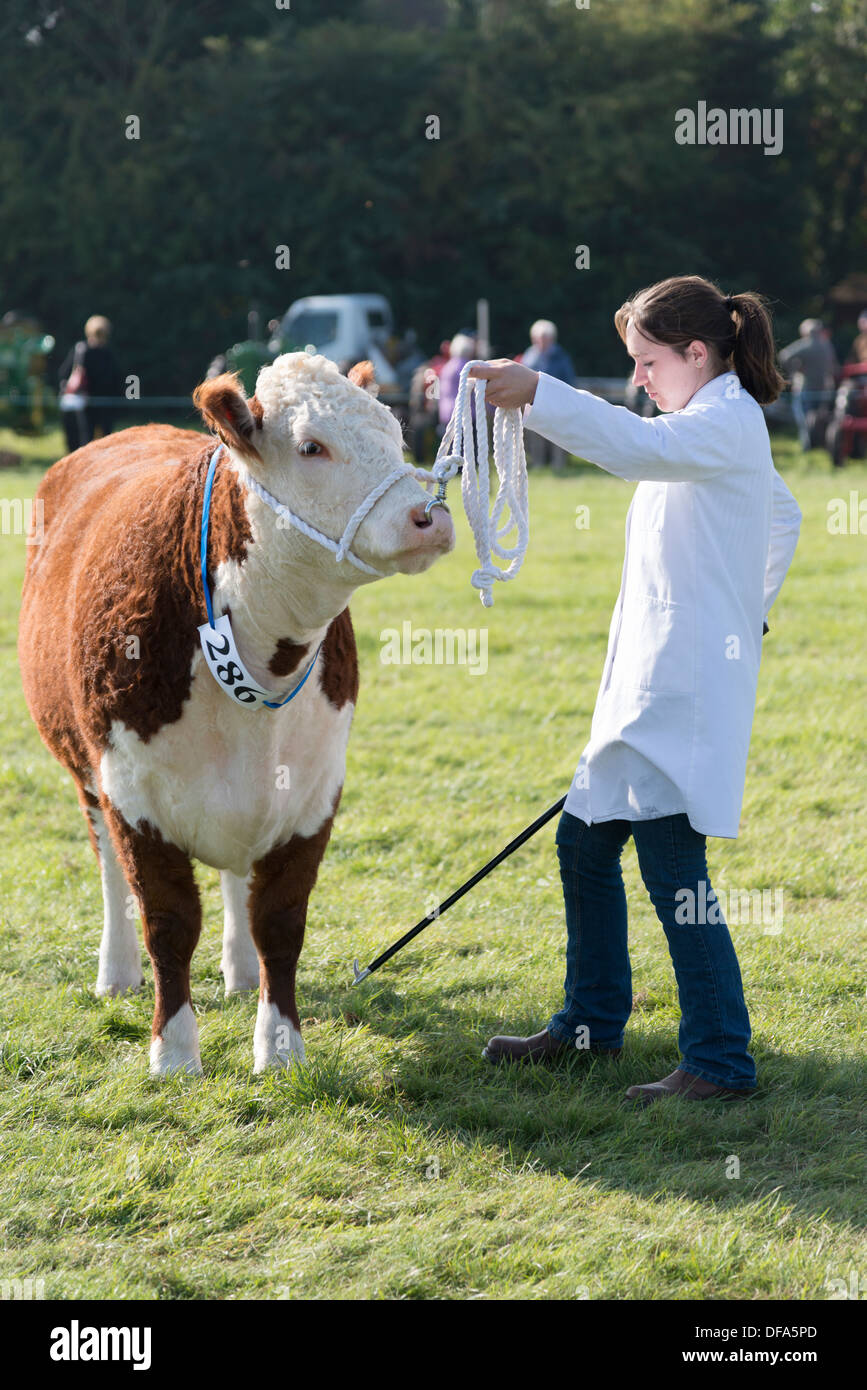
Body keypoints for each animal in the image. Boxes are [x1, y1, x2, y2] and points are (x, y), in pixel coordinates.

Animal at [18, 352, 455, 1077]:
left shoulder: (312, 791)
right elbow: (167, 922)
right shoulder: (131, 791)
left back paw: (242, 971)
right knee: (109, 870)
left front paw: (279, 1046)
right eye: (311, 447)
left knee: (234, 875)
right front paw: (173, 1053)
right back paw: (116, 971)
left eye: (394, 436)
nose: (431, 516)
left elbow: (278, 920)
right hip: (83, 772)